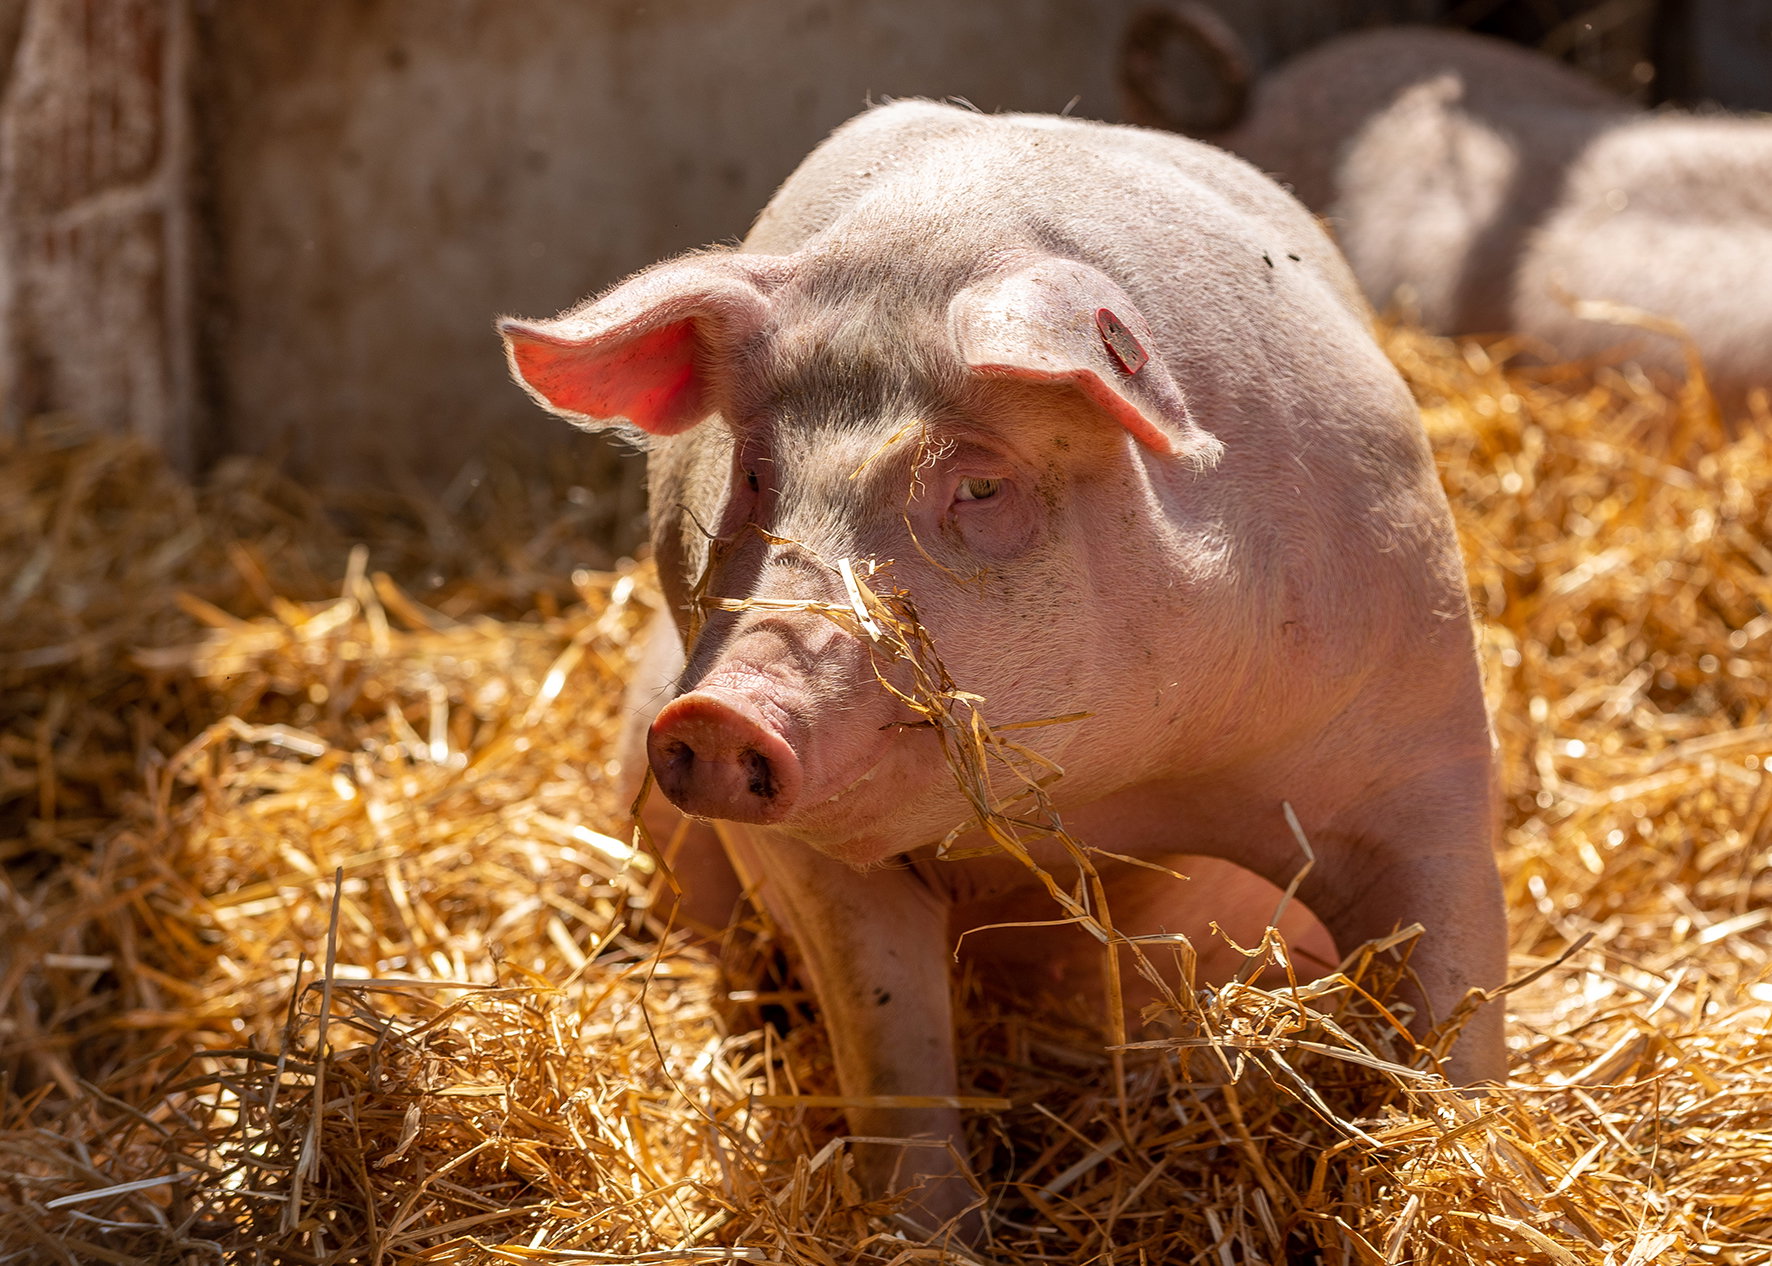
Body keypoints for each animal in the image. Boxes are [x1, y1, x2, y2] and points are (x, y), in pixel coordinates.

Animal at [501, 99, 1507, 1232]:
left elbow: (1453, 979)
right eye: (755, 473)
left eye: (979, 488)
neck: (1113, 799)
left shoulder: (1416, 732)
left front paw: (1456, 1167)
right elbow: (891, 1046)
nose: (720, 716)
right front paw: (928, 1232)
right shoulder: (804, 861)